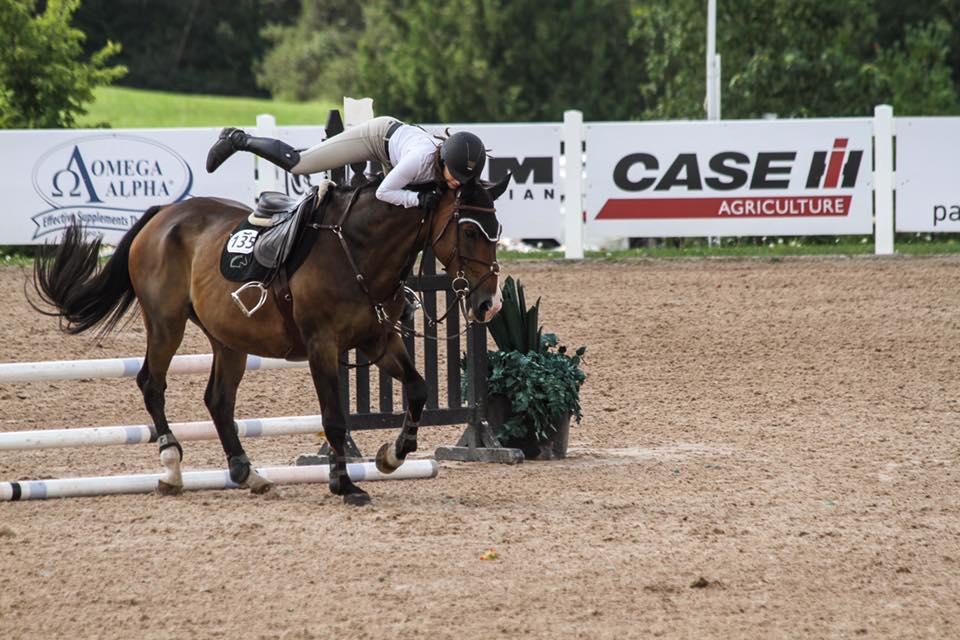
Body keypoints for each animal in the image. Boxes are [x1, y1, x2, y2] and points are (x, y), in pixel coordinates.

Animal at [31, 175, 509, 506]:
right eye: (469, 231)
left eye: (497, 227)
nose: (489, 304)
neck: (357, 250)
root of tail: (164, 213)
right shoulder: (322, 346)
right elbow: (335, 419)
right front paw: (346, 485)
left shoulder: (378, 340)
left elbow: (417, 388)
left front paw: (391, 455)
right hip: (166, 323)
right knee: (152, 383)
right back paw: (171, 467)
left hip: (229, 339)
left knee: (218, 400)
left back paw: (249, 474)